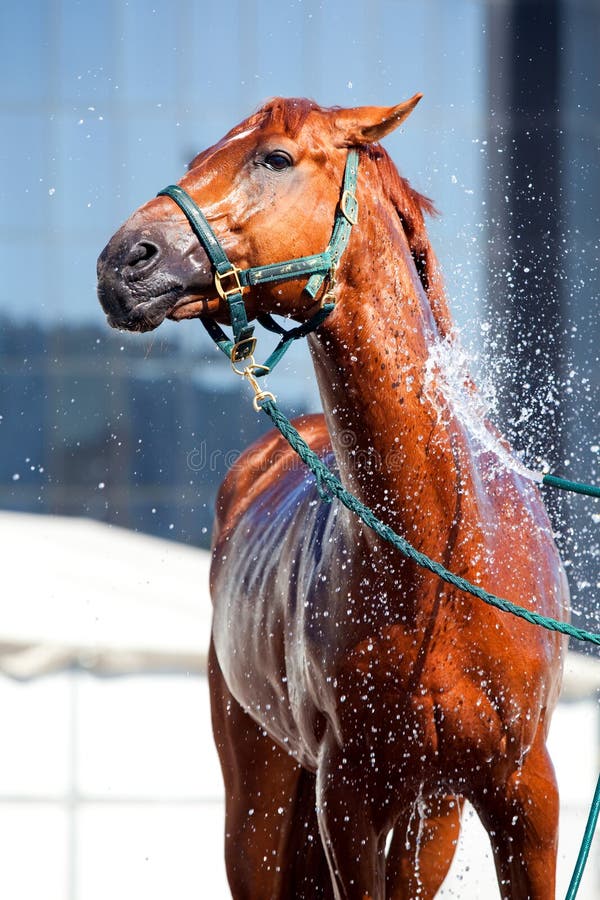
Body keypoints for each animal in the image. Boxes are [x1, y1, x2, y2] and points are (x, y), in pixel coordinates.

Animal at [97, 95, 569, 899]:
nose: (123, 262)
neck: (440, 558)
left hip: (429, 814)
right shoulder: (345, 796)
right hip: (257, 794)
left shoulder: (523, 793)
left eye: (276, 158)